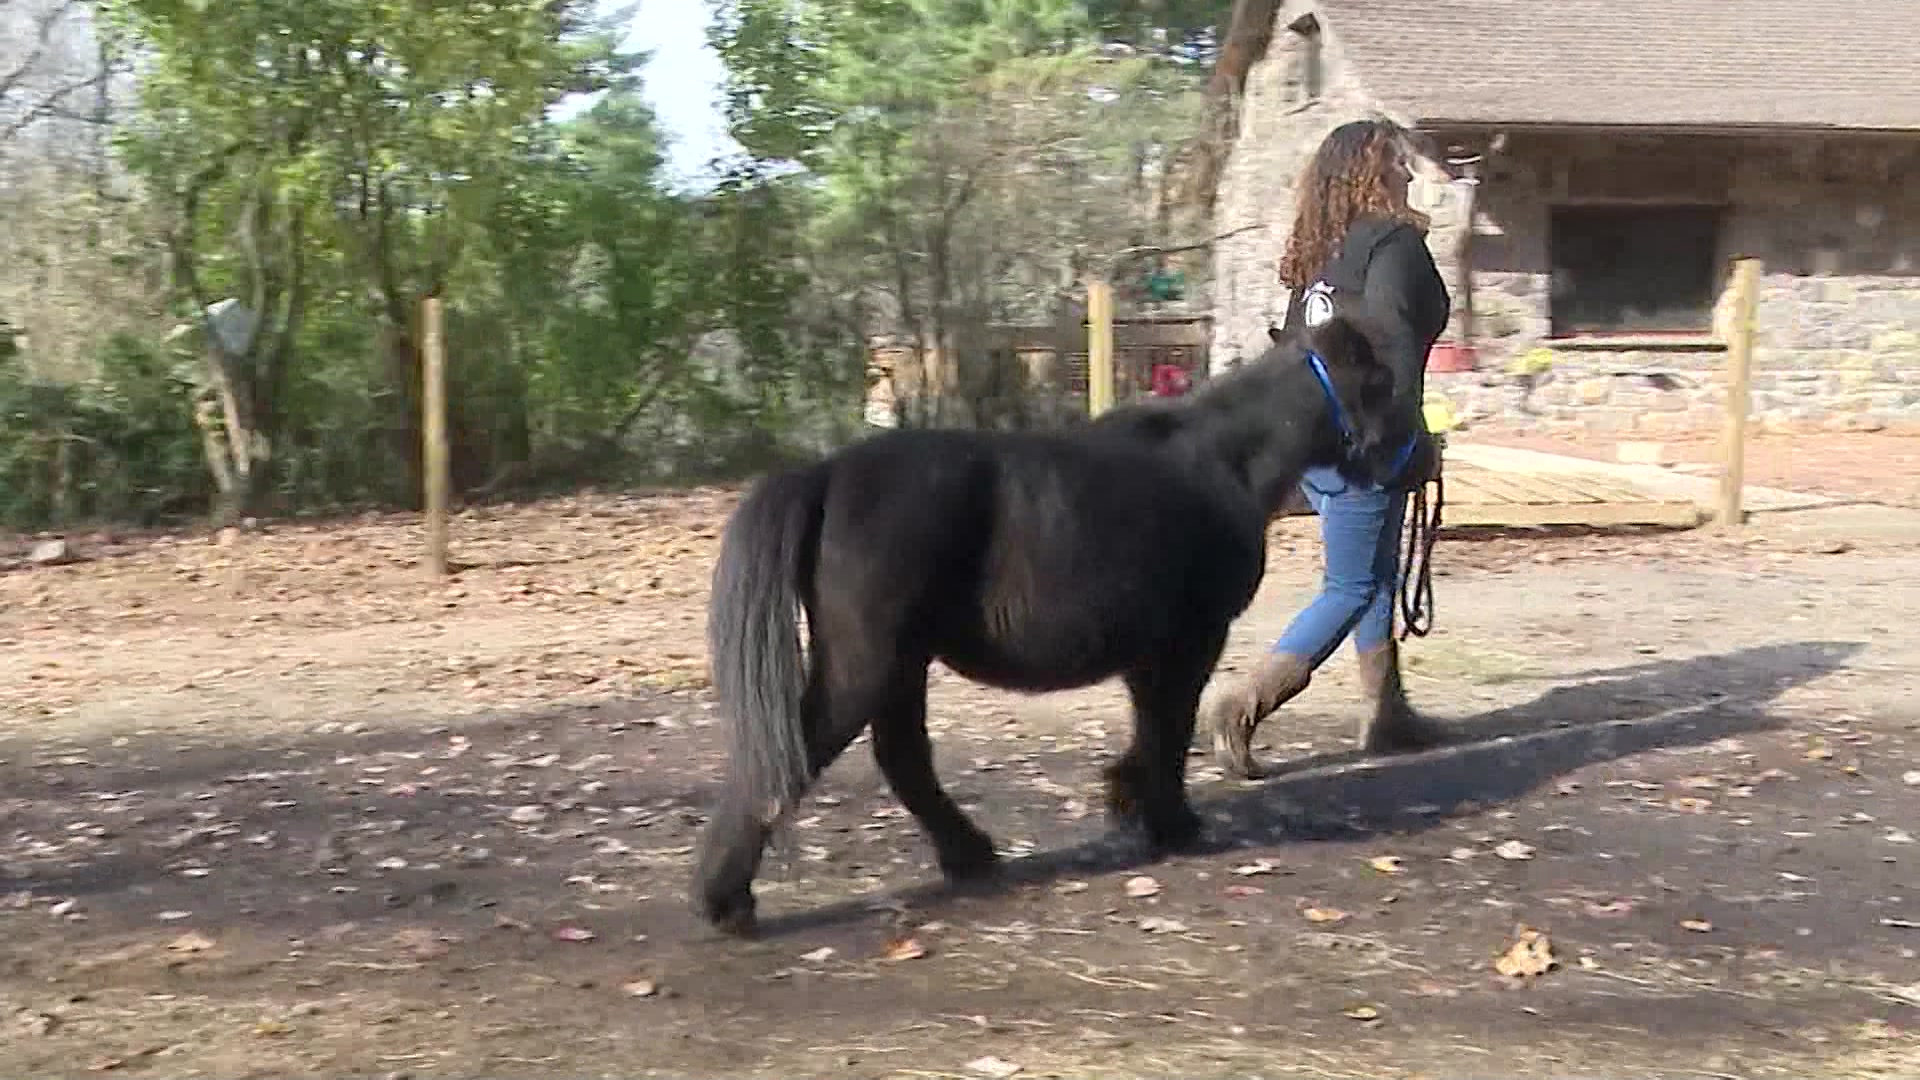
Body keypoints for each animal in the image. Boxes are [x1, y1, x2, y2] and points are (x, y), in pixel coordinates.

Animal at [690, 308, 1415, 936]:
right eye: (1381, 383)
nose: (1415, 460)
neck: (1220, 459)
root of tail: (829, 474)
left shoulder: (1151, 652)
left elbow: (1152, 727)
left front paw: (1127, 797)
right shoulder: (1191, 639)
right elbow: (1170, 729)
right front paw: (1171, 823)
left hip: (901, 662)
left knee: (903, 759)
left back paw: (969, 856)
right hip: (867, 663)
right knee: (797, 755)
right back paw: (726, 900)